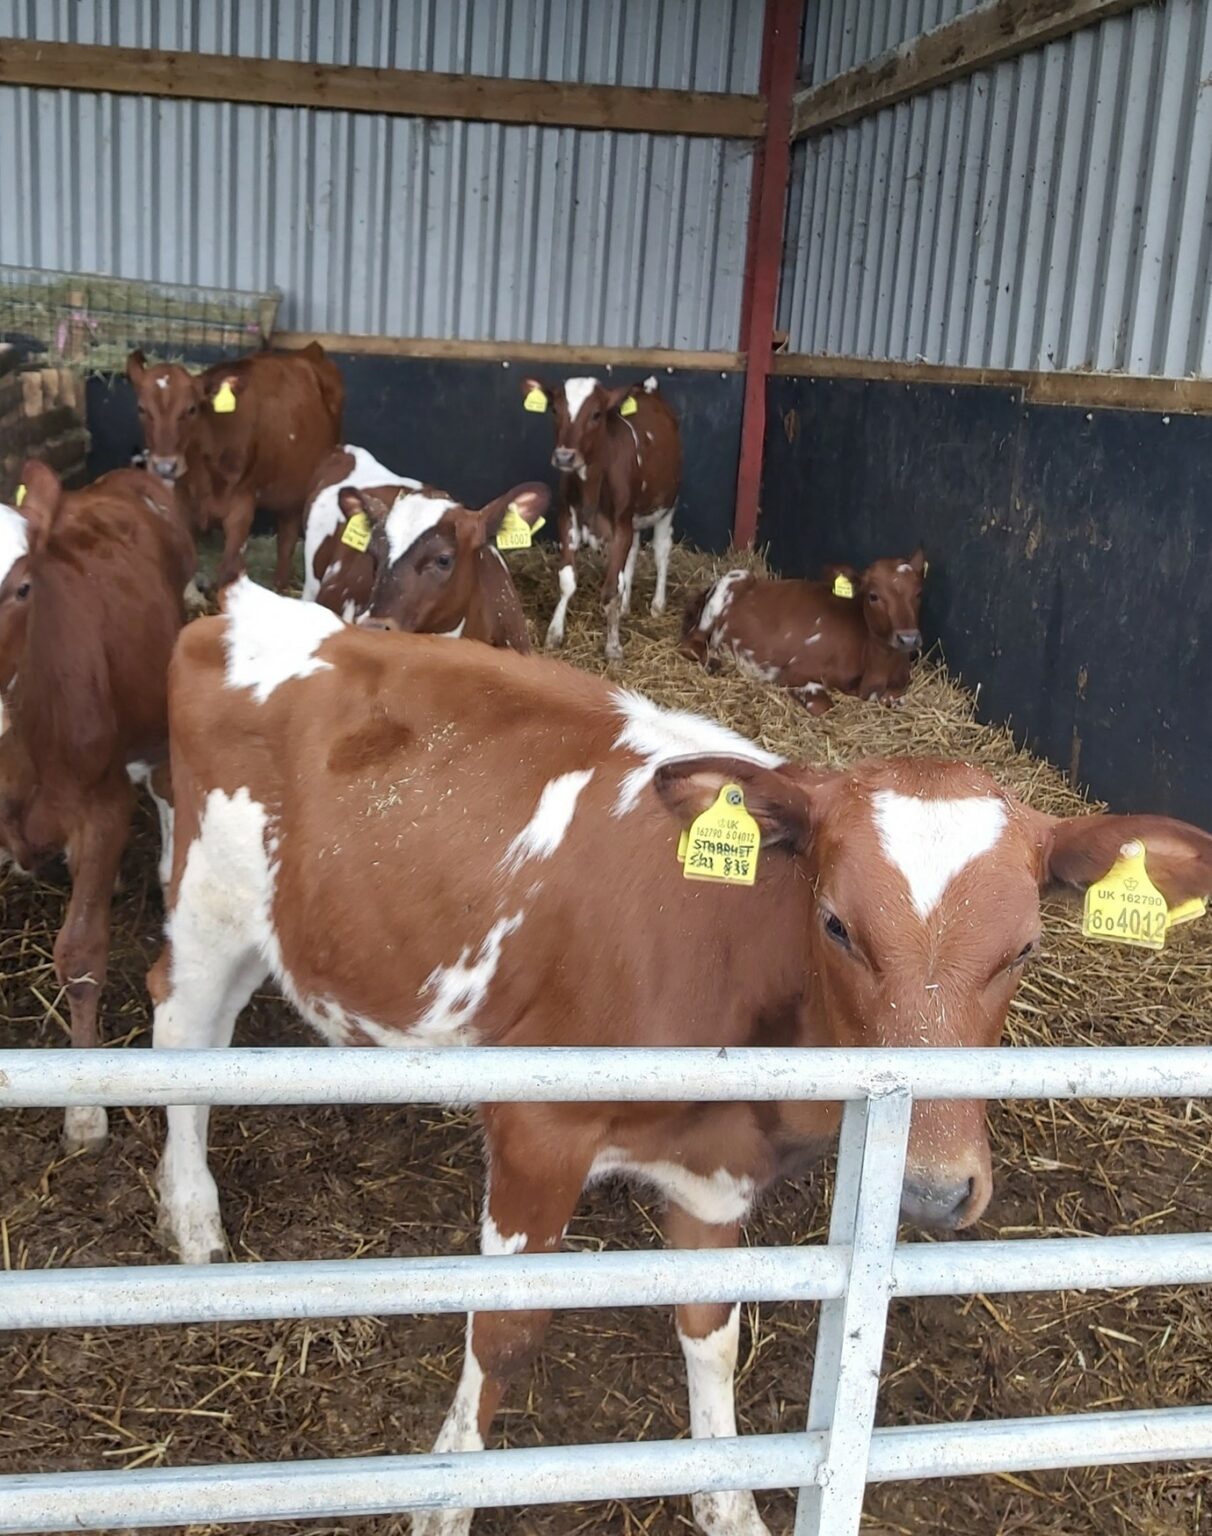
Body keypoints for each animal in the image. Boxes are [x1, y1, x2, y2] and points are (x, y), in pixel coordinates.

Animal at [126, 342, 344, 593]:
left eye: (191, 409)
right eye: (141, 409)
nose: (165, 465)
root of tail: (308, 351)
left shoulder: (241, 504)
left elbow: (228, 570)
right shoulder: (182, 502)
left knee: (287, 542)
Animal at [148, 579, 1212, 1536]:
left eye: (1026, 947)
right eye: (837, 923)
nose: (932, 1190)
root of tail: (243, 607)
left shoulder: (718, 1167)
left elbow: (713, 1330)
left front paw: (728, 1501)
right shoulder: (537, 1132)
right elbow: (504, 1331)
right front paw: (446, 1501)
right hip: (206, 900)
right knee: (182, 1028)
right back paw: (193, 1216)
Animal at [521, 374, 681, 661]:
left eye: (596, 414)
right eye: (554, 410)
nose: (564, 456)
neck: (592, 485)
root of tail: (648, 388)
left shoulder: (621, 527)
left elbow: (610, 590)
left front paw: (613, 646)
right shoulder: (568, 520)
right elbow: (567, 580)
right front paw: (554, 633)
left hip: (666, 505)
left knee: (661, 550)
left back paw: (657, 604)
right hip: (633, 520)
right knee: (633, 553)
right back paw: (626, 606)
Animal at [681, 549, 926, 714]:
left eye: (918, 593)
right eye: (873, 596)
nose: (908, 638)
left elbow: (895, 697)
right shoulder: (793, 671)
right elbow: (823, 704)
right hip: (730, 583)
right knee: (692, 644)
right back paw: (713, 662)